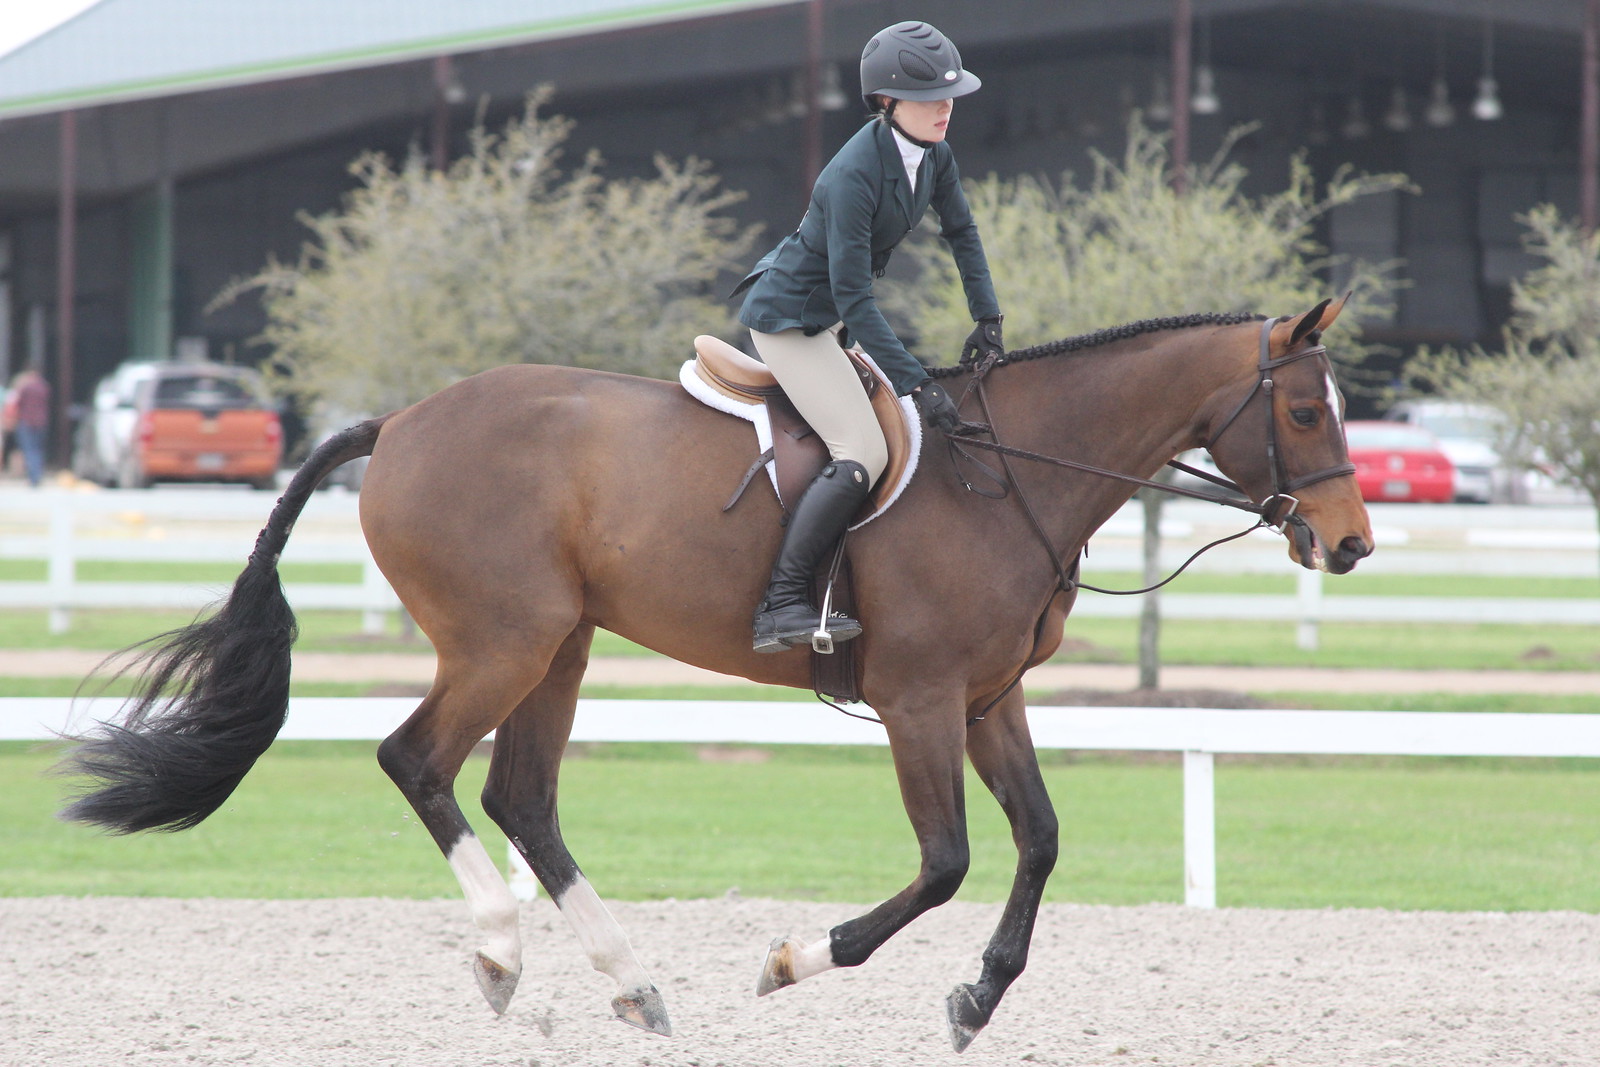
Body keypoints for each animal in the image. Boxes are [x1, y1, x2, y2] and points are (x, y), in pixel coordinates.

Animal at [59, 298, 1373, 1052]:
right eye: (1306, 413)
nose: (1351, 544)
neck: (1012, 469)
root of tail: (403, 419)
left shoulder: (987, 697)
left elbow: (1039, 840)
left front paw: (978, 996)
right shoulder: (918, 701)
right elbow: (945, 861)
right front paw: (796, 961)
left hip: (563, 645)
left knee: (519, 795)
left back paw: (633, 985)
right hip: (503, 639)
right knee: (417, 758)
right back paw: (502, 953)